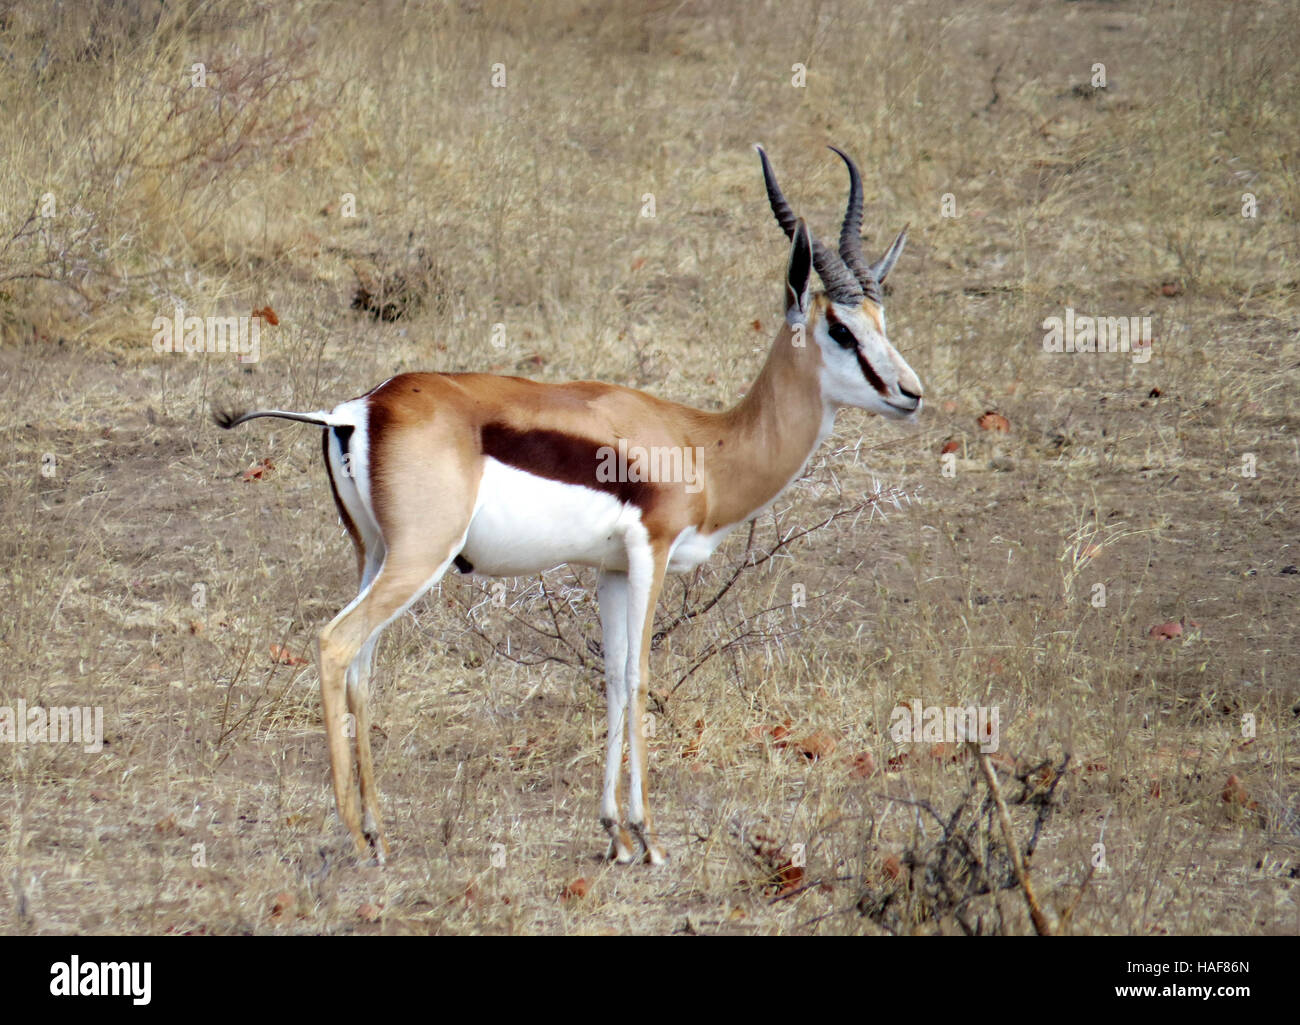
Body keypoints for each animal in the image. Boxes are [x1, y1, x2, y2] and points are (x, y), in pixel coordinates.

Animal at [214, 146, 923, 866]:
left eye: (883, 323)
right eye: (839, 328)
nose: (911, 392)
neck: (702, 443)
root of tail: (359, 410)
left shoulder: (609, 570)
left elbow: (609, 678)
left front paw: (615, 833)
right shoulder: (650, 553)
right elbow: (638, 676)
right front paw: (648, 836)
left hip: (375, 553)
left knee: (362, 665)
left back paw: (379, 831)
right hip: (420, 556)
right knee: (335, 643)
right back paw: (355, 836)